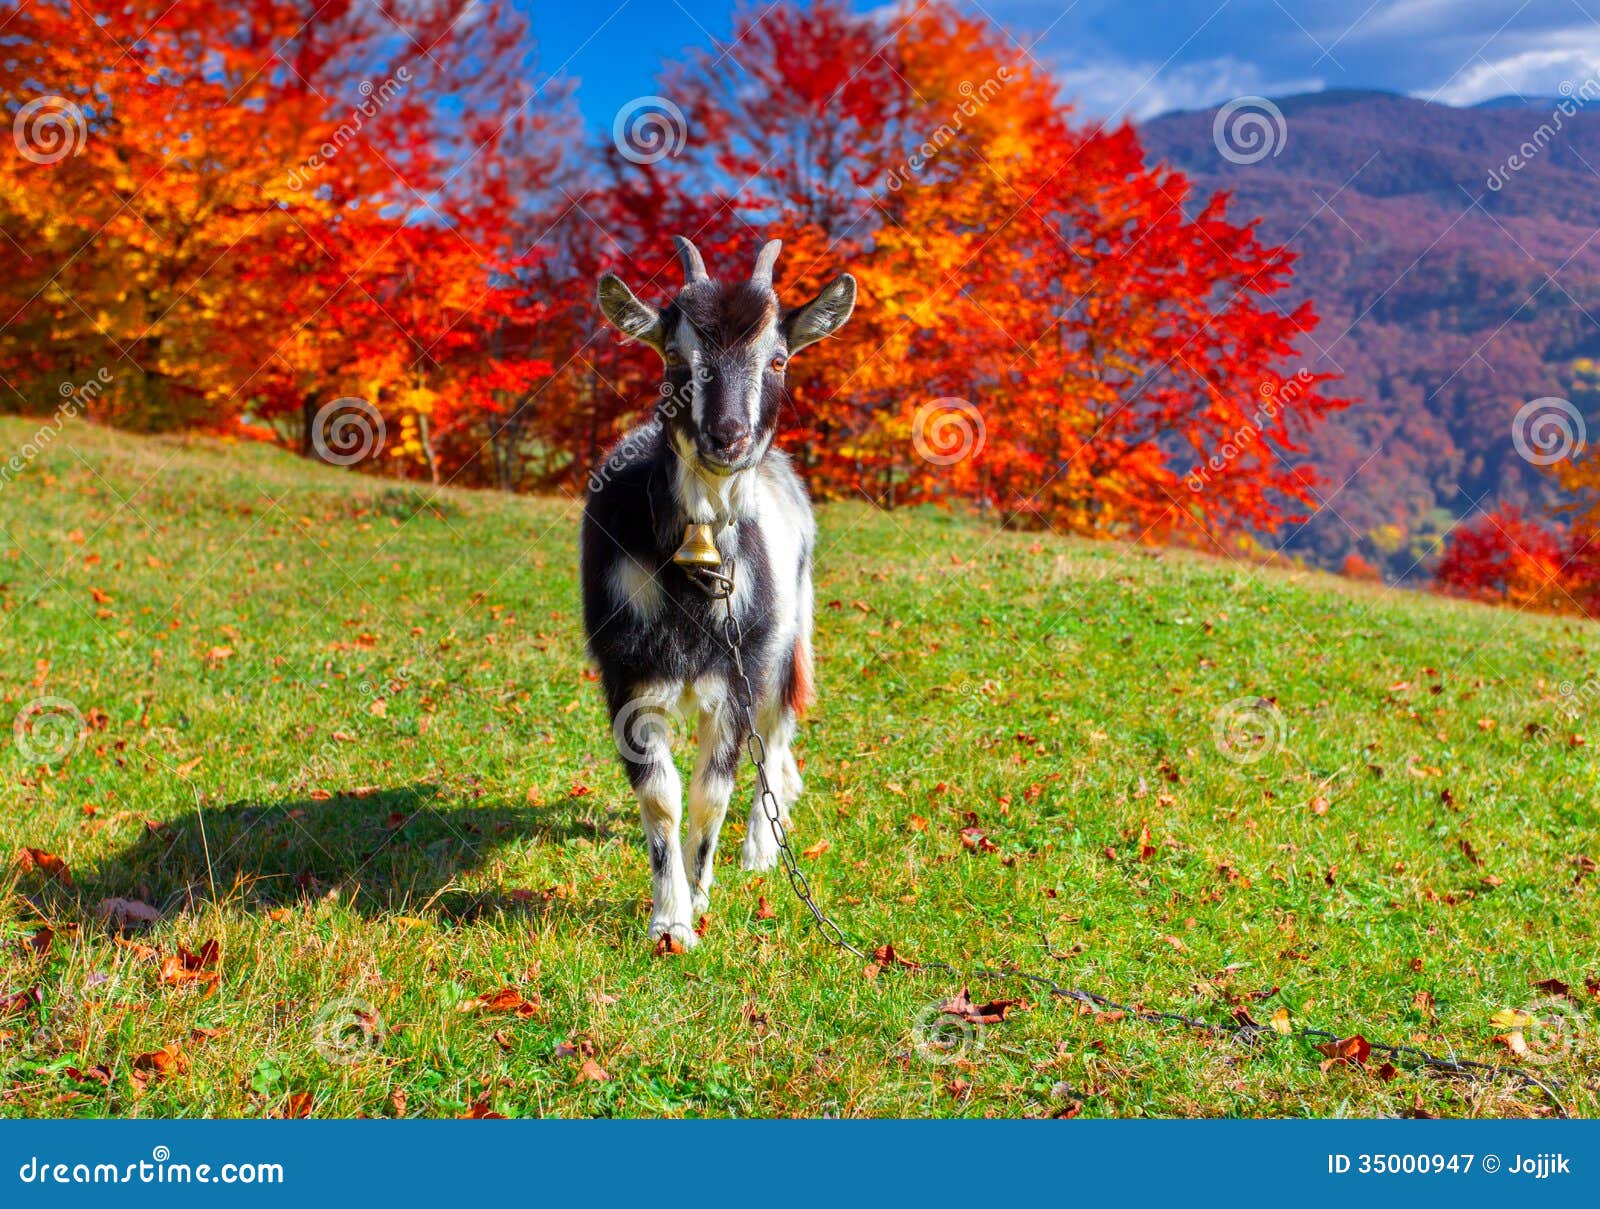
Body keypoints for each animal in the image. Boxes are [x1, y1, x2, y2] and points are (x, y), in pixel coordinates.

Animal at [582, 236, 856, 949]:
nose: (727, 437)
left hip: (790, 642)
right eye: (676, 357)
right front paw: (670, 919)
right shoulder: (627, 681)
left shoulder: (738, 679)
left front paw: (701, 893)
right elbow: (662, 797)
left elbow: (713, 791)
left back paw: (763, 848)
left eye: (779, 358)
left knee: (777, 743)